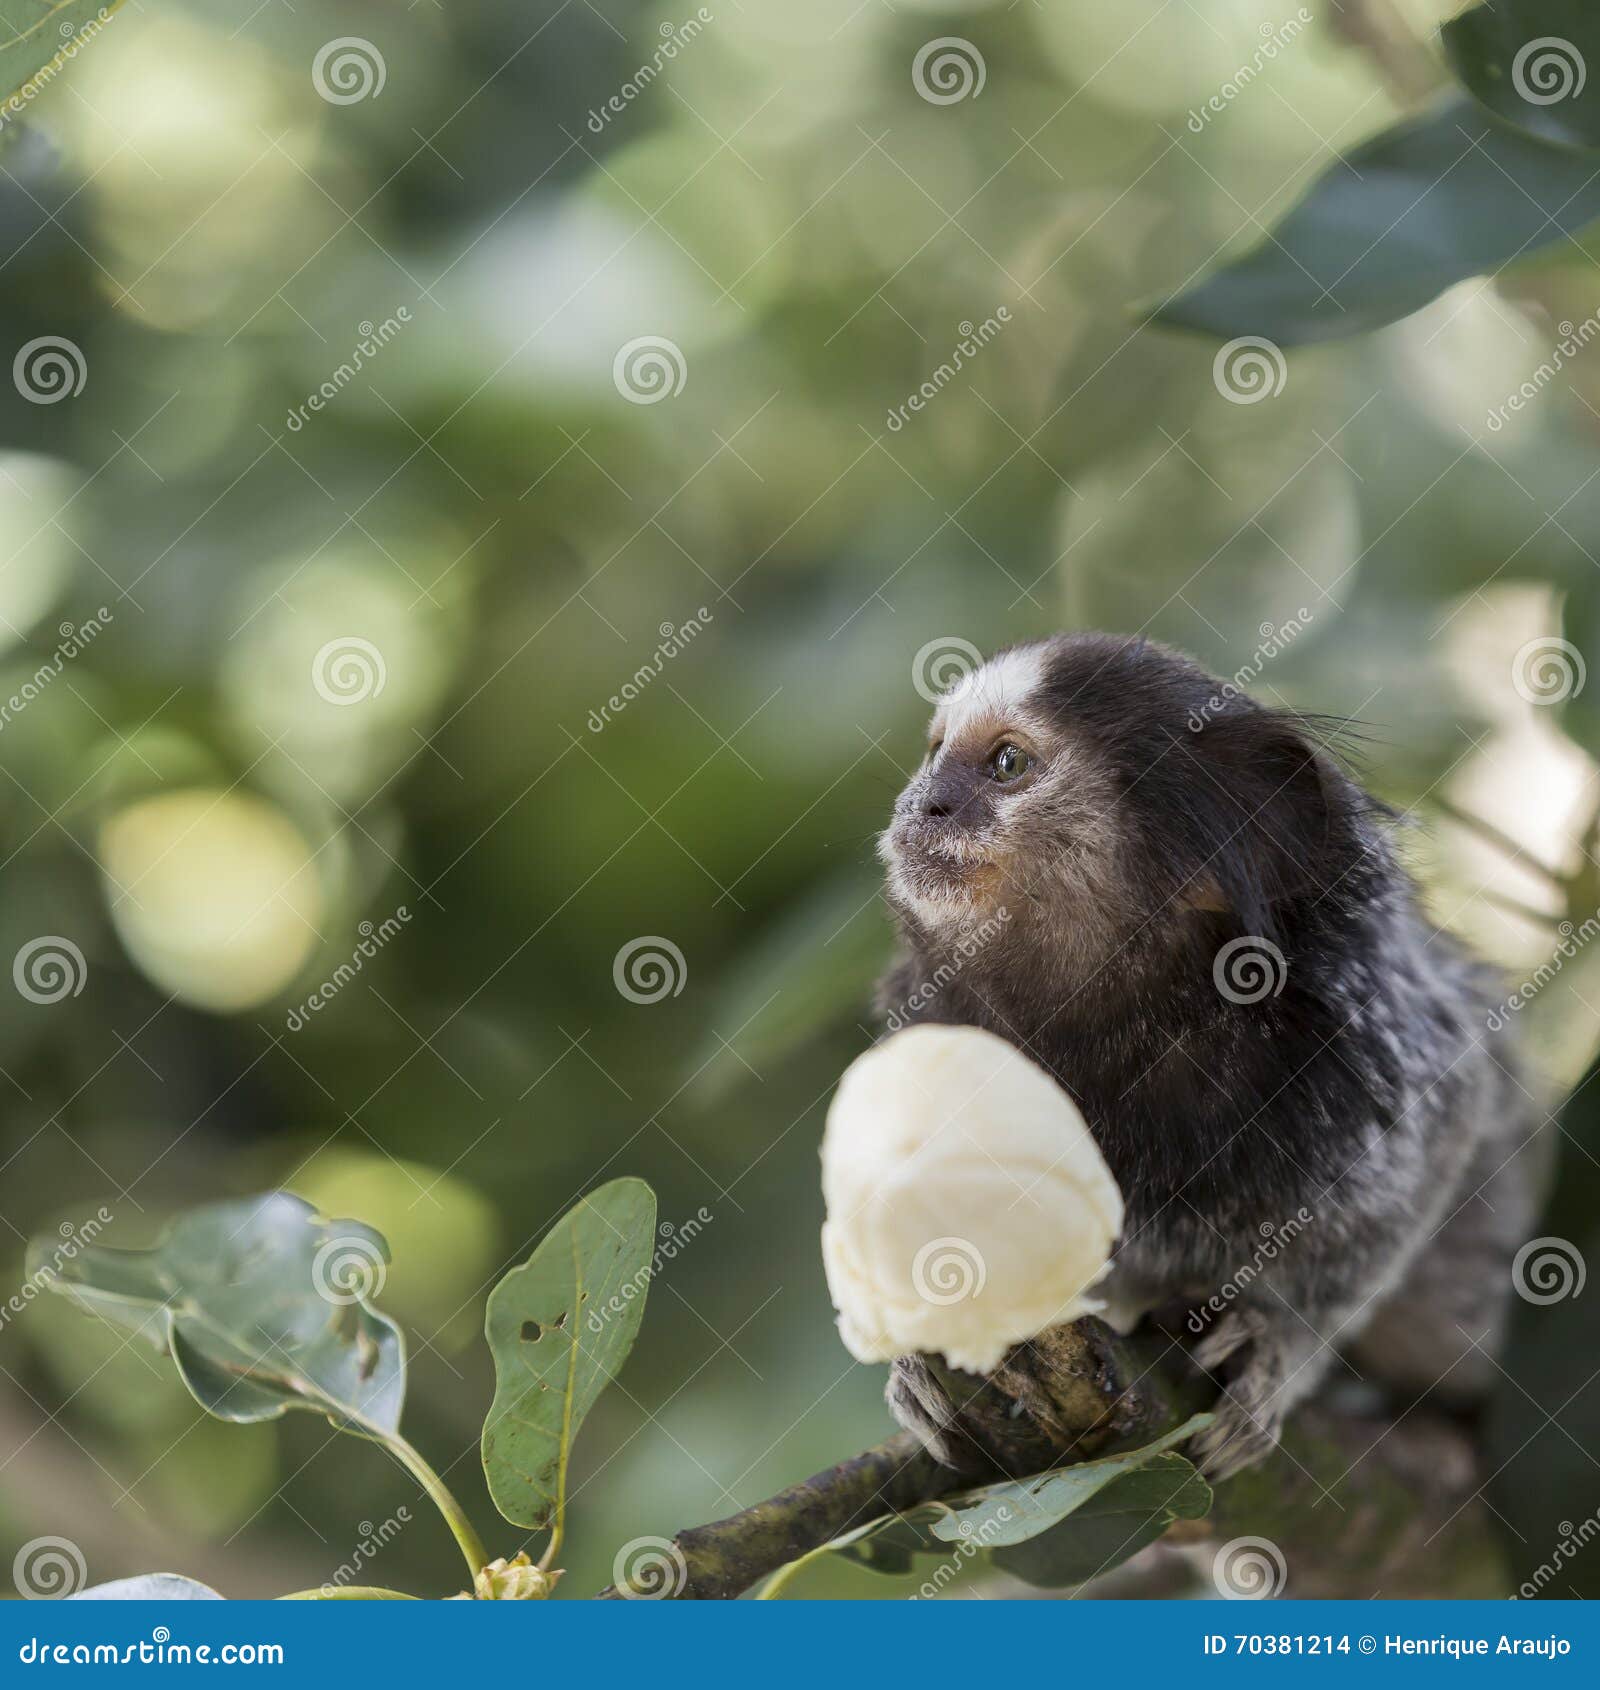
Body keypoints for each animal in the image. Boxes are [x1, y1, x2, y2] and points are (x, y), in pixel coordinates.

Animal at [874, 631, 1551, 1481]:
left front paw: (1279, 1340)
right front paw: (920, 1359)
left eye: (1006, 763)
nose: (922, 803)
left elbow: (1420, 1168)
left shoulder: (1372, 1052)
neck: (1124, 1015)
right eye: (936, 752)